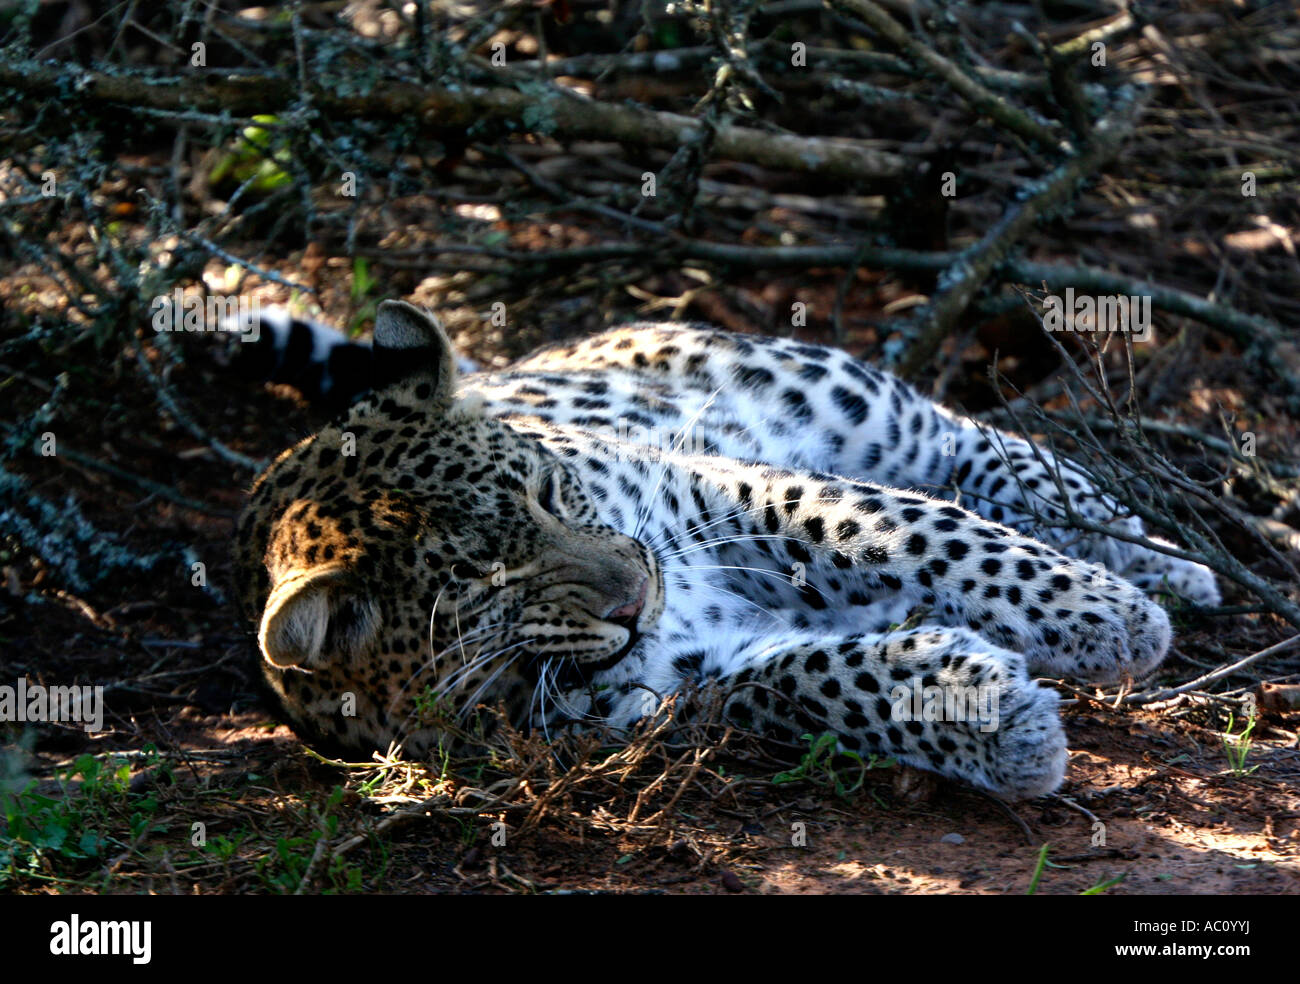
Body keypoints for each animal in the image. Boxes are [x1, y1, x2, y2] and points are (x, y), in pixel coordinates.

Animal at [232, 300, 1220, 800]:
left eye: (548, 492)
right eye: (485, 585)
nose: (636, 596)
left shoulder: (720, 491)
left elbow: (912, 533)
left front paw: (1102, 616)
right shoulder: (665, 697)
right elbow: (810, 682)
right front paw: (989, 716)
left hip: (858, 406)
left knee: (992, 455)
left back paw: (1168, 573)